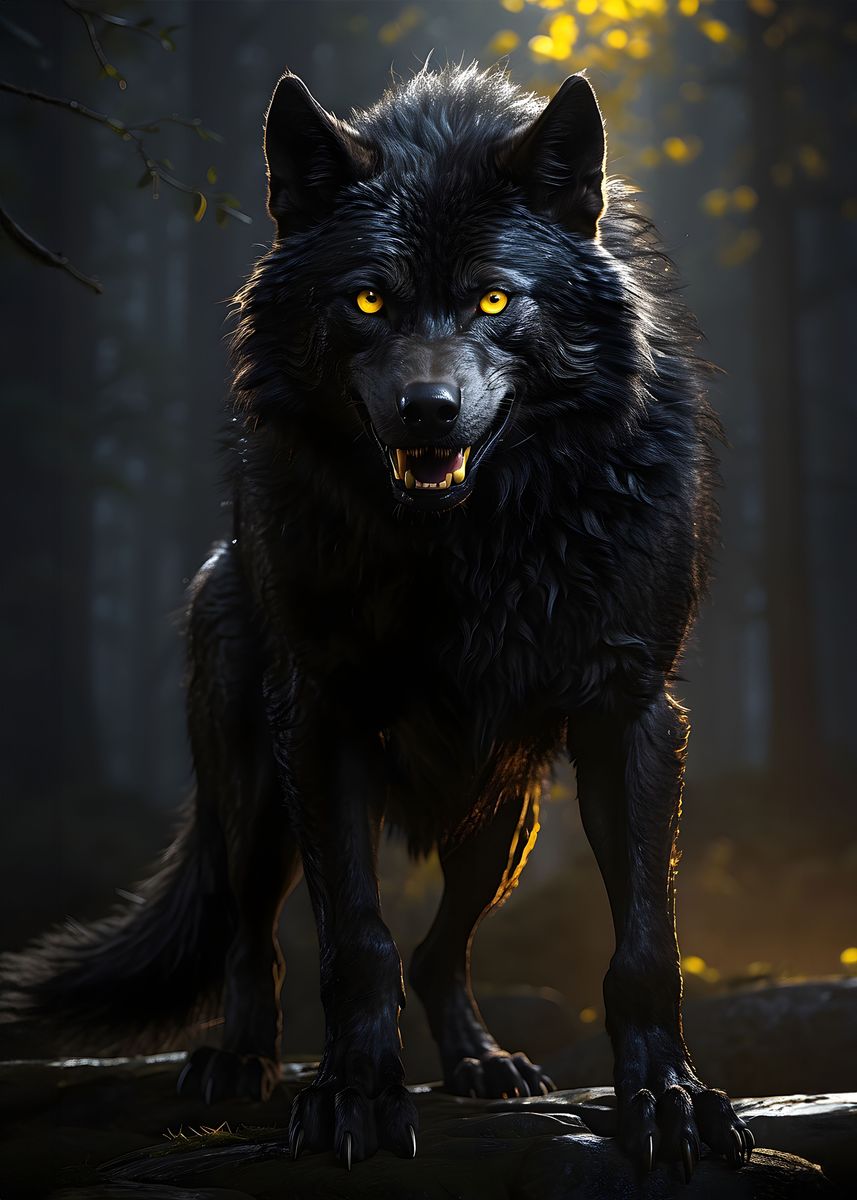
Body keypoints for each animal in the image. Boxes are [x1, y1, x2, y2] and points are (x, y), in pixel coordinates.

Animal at [2, 66, 754, 1177]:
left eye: (493, 296)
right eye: (367, 298)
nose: (426, 410)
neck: (470, 545)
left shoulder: (630, 714)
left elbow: (643, 946)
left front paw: (669, 1099)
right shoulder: (324, 715)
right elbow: (356, 940)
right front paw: (353, 1096)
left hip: (502, 820)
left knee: (443, 949)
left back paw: (484, 1063)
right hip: (255, 796)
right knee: (252, 939)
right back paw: (236, 1064)